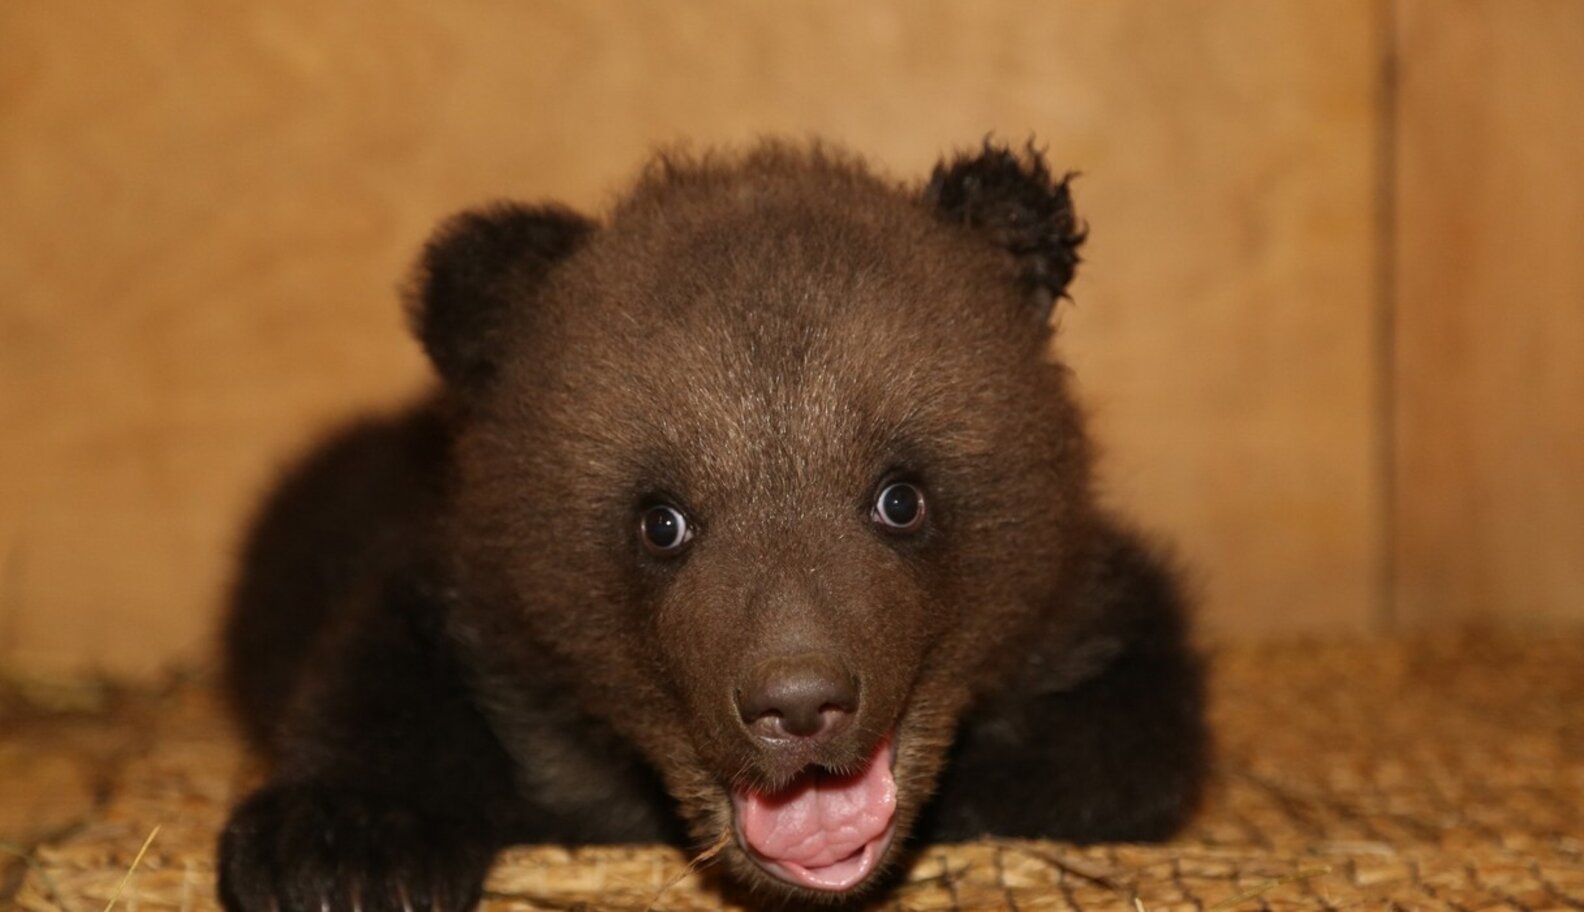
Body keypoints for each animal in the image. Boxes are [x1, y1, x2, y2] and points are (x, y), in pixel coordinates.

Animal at [217, 140, 1207, 911]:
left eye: (900, 496)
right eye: (662, 520)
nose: (799, 702)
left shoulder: (1088, 613)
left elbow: (1125, 739)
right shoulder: (461, 602)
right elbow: (379, 680)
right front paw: (341, 848)